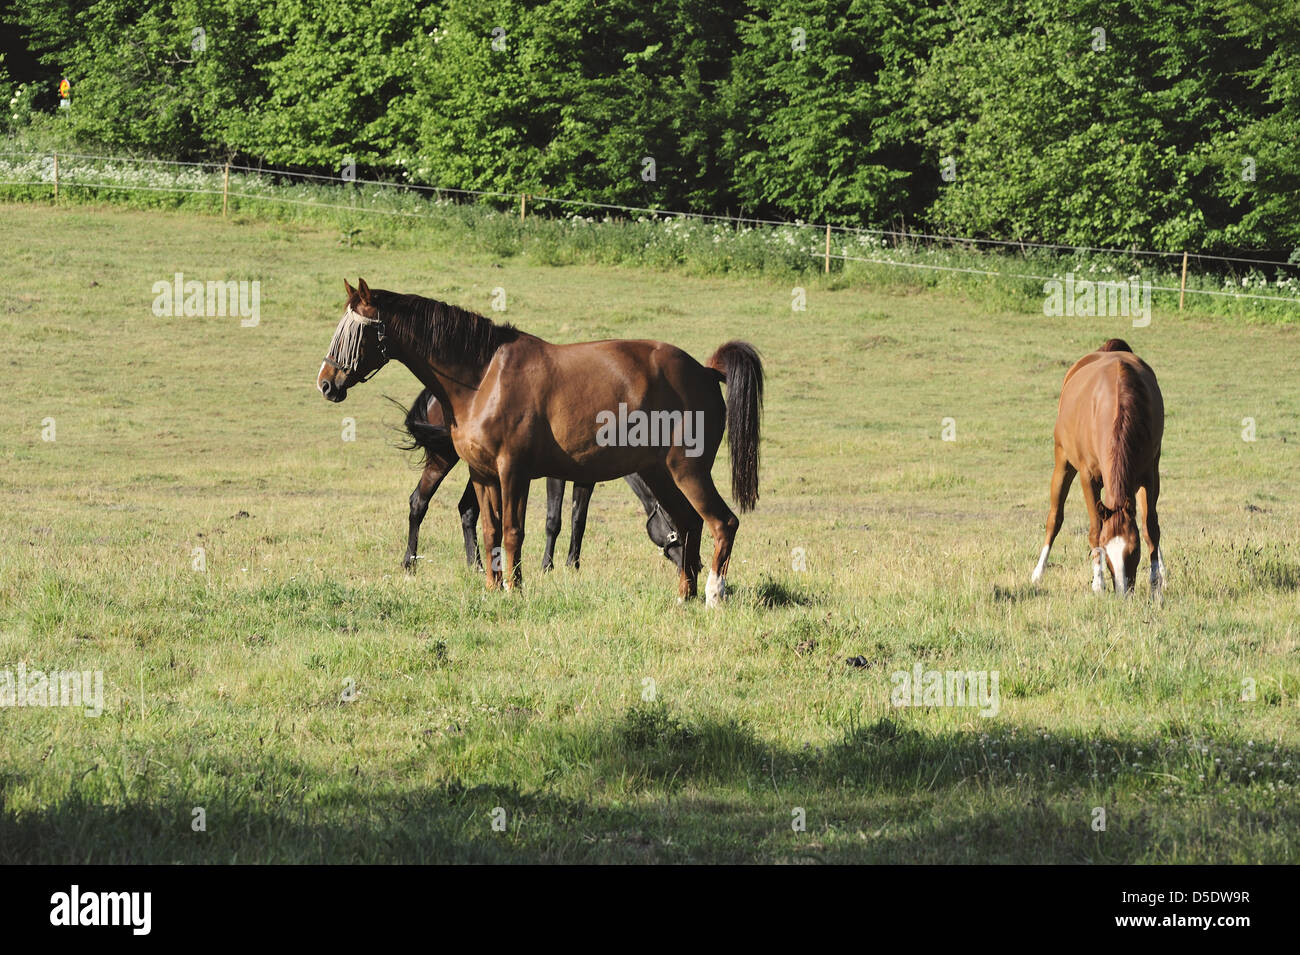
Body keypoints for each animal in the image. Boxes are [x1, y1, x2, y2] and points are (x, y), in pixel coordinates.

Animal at [399, 388, 684, 572]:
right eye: (675, 523)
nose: (689, 563)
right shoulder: (555, 476)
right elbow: (553, 520)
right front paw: (547, 565)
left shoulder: (586, 479)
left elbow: (578, 520)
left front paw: (573, 565)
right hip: (443, 458)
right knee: (418, 501)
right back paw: (409, 562)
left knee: (467, 509)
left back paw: (477, 565)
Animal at [1031, 338, 1165, 595]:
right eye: (1106, 550)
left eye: (1134, 550)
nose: (1123, 592)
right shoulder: (1088, 477)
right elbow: (1094, 529)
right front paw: (1098, 583)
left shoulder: (1149, 474)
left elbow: (1150, 527)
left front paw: (1156, 583)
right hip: (1063, 462)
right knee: (1054, 518)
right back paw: (1038, 573)